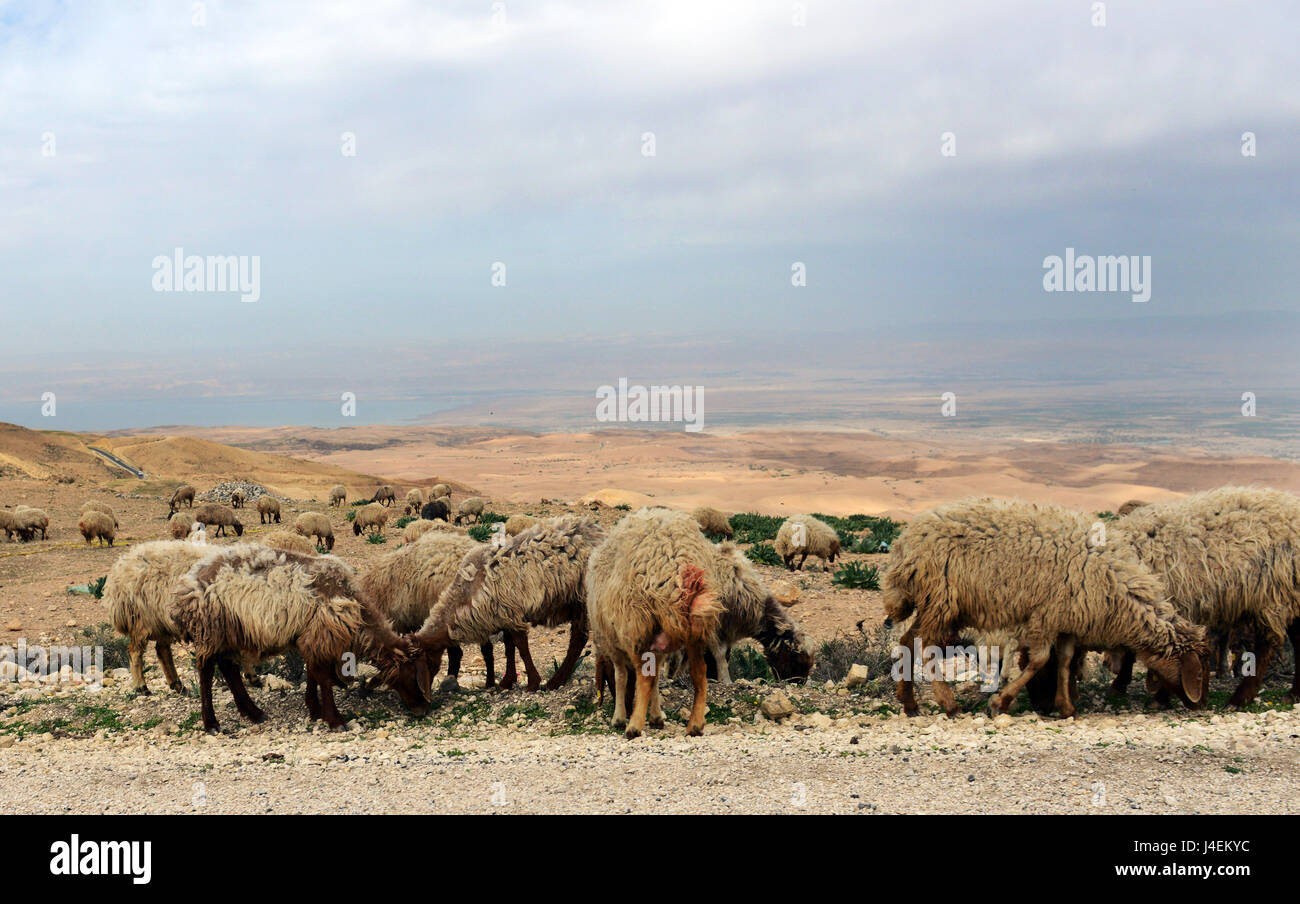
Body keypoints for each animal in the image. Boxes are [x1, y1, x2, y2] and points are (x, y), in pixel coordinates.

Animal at [171, 544, 426, 732]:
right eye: (410, 674)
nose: (424, 708)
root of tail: (185, 585)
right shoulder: (320, 635)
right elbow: (322, 676)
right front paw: (335, 720)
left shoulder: (311, 637)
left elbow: (313, 673)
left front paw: (315, 710)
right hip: (211, 630)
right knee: (206, 673)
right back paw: (211, 723)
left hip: (231, 633)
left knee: (228, 669)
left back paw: (253, 713)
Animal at [403, 515, 605, 707]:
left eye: (410, 668)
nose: (415, 705)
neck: (468, 592)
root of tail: (595, 530)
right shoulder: (504, 614)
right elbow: (510, 648)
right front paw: (508, 681)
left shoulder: (511, 612)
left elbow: (521, 648)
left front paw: (532, 683)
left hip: (581, 598)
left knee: (578, 638)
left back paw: (556, 681)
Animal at [584, 507, 724, 738]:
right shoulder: (658, 645)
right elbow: (656, 677)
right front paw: (657, 717)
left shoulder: (615, 645)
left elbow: (622, 676)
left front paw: (619, 717)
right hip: (696, 630)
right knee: (699, 673)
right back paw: (695, 725)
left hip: (637, 623)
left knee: (644, 677)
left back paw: (633, 727)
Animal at [881, 497, 1208, 718]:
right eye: (1196, 670)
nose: (1200, 704)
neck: (1117, 584)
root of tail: (905, 544)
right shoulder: (1046, 615)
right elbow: (1039, 660)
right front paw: (999, 703)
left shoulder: (1066, 619)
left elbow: (1063, 662)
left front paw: (1065, 707)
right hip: (941, 599)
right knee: (926, 647)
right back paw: (948, 704)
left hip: (936, 604)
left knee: (907, 641)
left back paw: (909, 703)